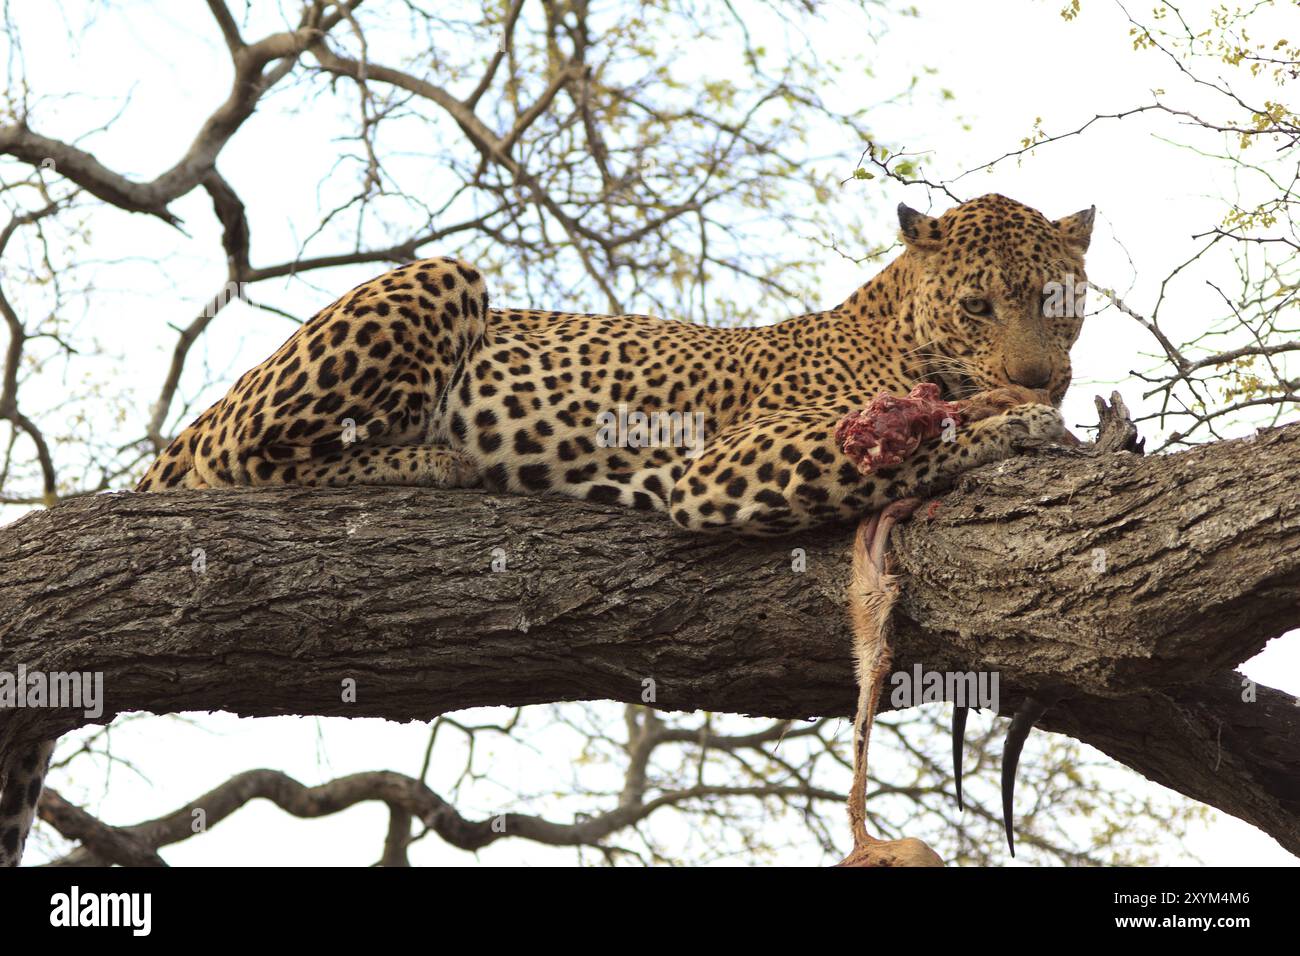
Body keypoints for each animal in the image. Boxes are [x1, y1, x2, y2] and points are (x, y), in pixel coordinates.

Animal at [0, 193, 1094, 865]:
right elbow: (933, 435)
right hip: (432, 286)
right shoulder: (725, 464)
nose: (1045, 378)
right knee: (254, 461)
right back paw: (437, 461)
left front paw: (1047, 418)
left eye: (1060, 305)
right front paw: (1023, 427)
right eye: (977, 303)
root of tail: (189, 422)